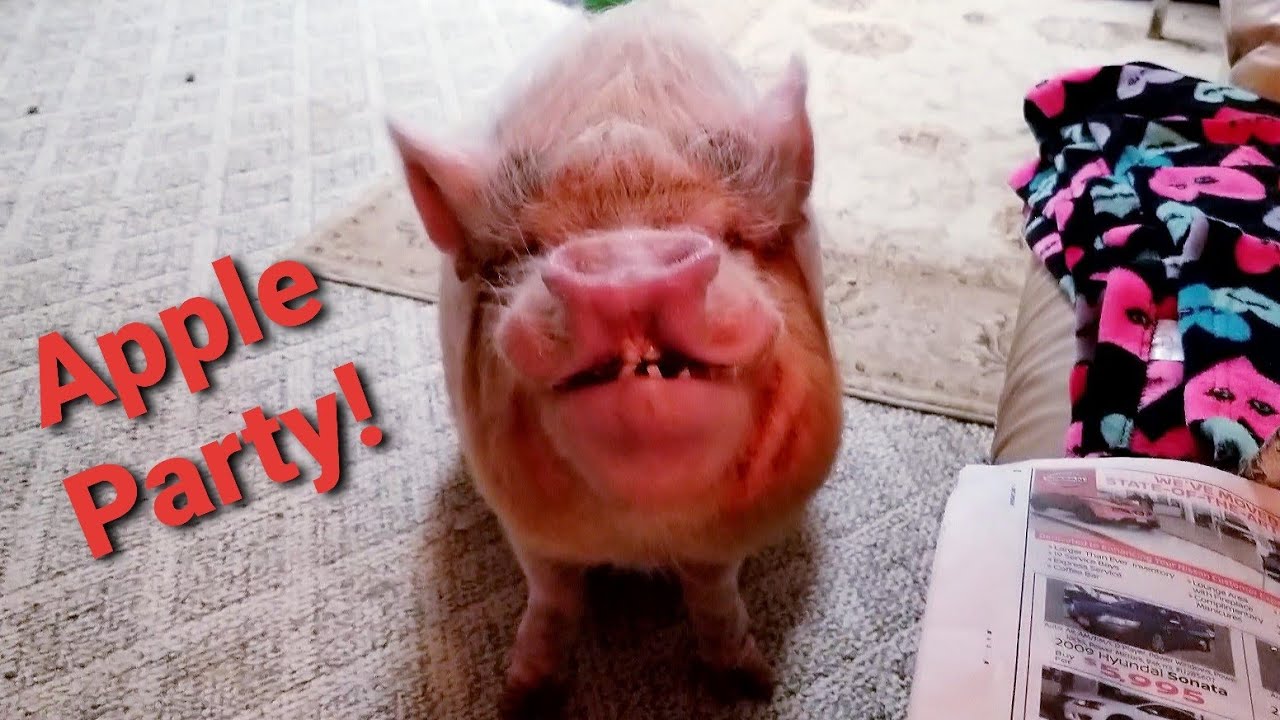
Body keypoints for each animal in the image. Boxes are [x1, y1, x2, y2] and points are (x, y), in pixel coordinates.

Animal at [386, 1, 843, 715]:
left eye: (731, 236)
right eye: (530, 248)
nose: (629, 263)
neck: (643, 538)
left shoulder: (720, 546)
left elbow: (713, 591)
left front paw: (750, 687)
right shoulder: (525, 527)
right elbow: (552, 593)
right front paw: (521, 701)